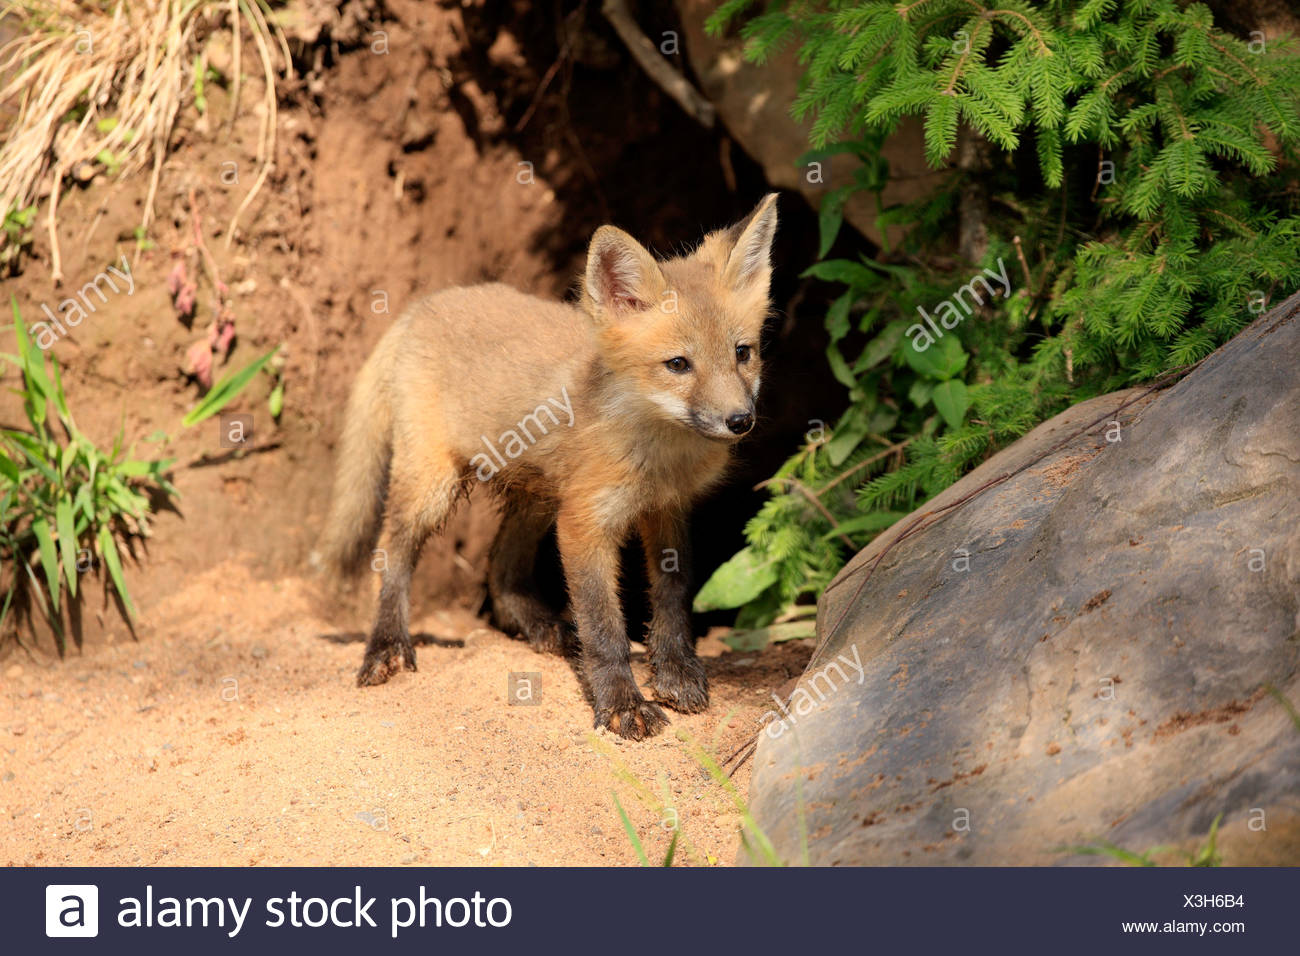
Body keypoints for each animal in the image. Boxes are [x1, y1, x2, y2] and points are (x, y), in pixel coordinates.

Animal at [317, 194, 779, 739]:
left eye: (742, 353)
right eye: (678, 365)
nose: (740, 420)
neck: (659, 456)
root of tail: (423, 305)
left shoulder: (668, 510)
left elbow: (673, 594)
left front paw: (675, 671)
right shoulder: (584, 524)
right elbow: (603, 626)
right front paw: (621, 703)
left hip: (539, 495)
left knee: (500, 569)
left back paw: (543, 629)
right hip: (434, 487)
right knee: (391, 553)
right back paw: (386, 644)